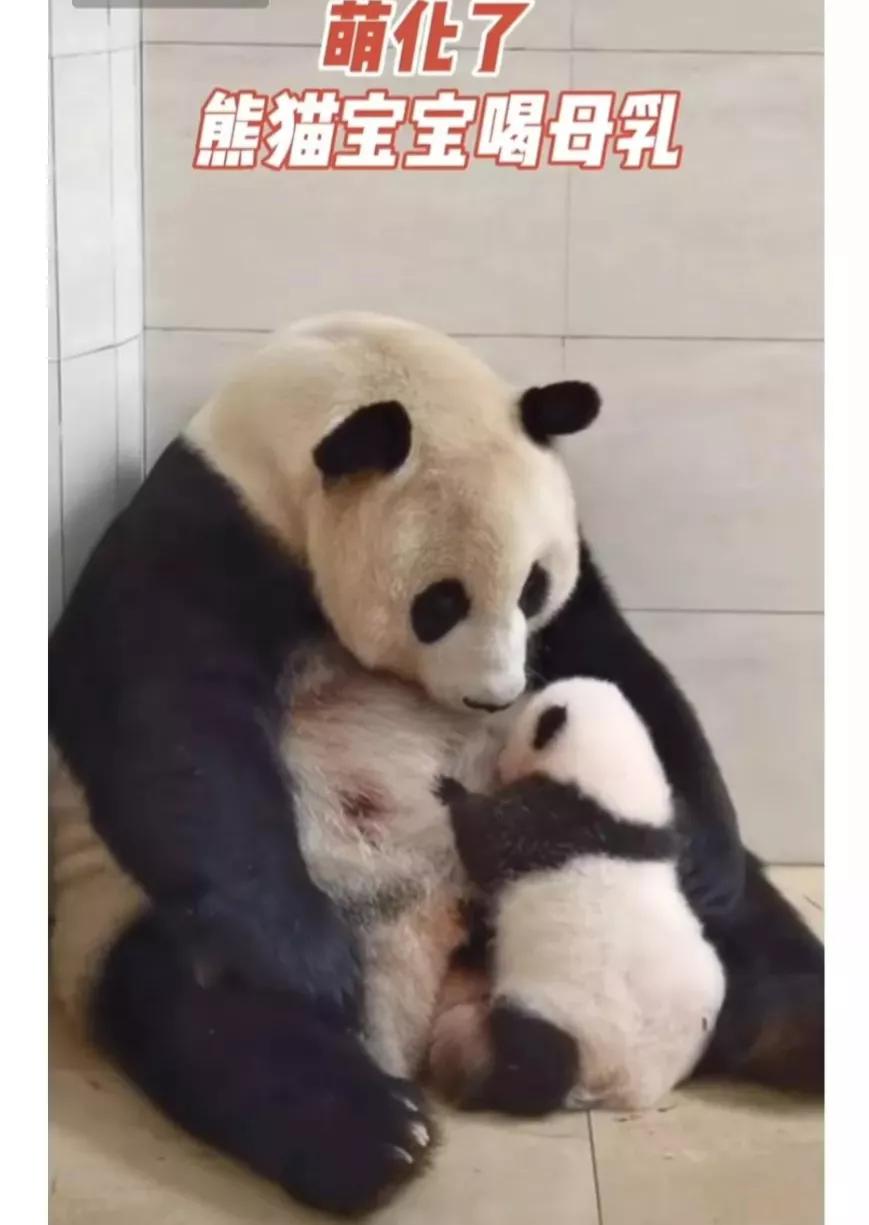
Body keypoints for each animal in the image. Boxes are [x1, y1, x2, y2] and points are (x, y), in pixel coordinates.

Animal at [430, 678, 726, 1114]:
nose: (498, 762)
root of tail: (617, 1086)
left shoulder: (554, 821)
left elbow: (488, 841)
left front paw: (450, 791)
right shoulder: (665, 829)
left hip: (558, 1016)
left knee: (533, 1065)